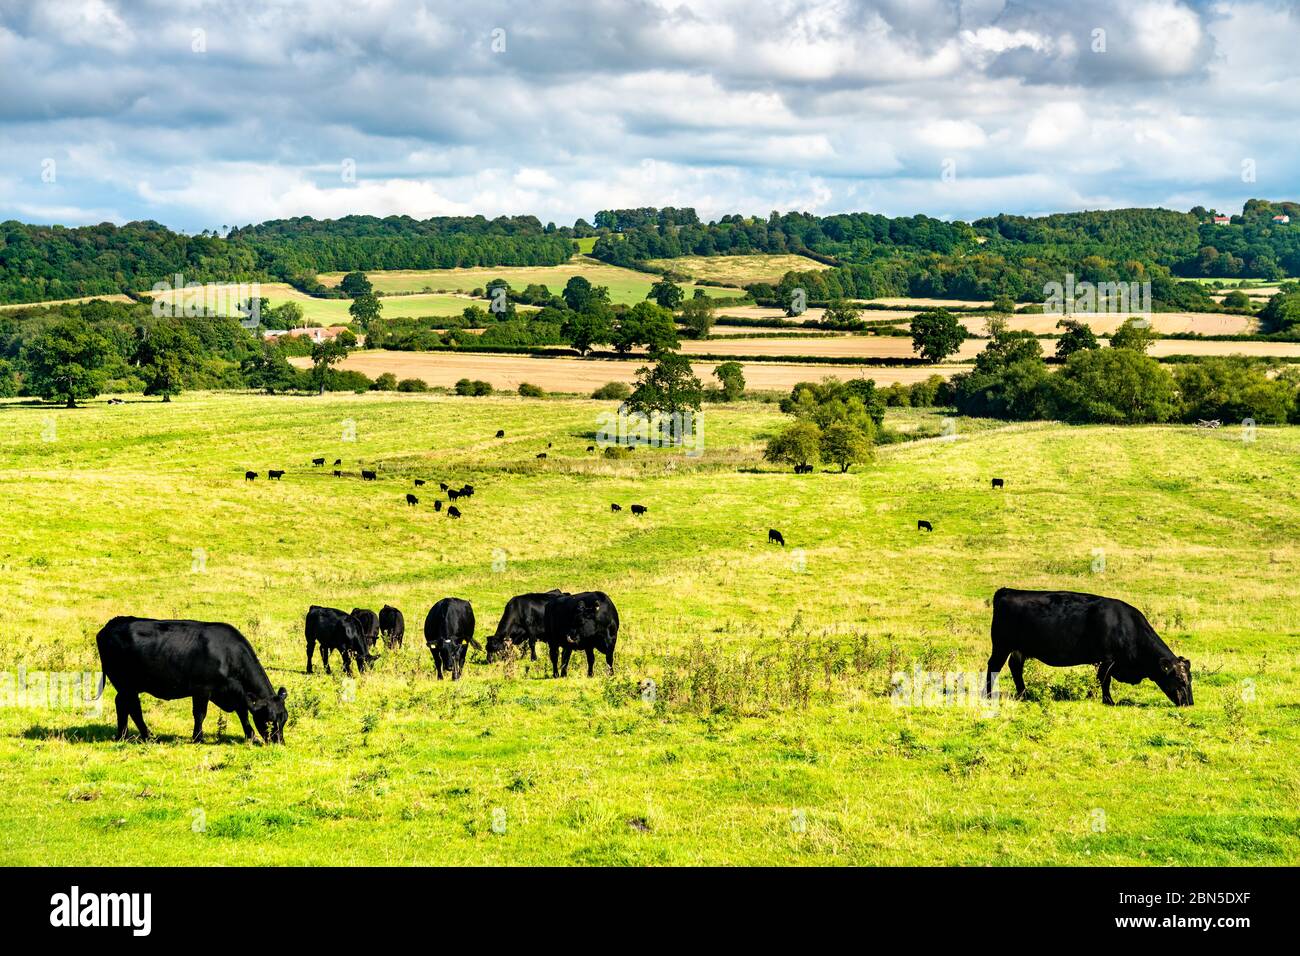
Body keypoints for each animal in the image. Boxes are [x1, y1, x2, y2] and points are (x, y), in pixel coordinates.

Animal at [93, 616, 287, 744]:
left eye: (284, 719)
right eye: (270, 720)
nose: (279, 742)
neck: (228, 655)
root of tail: (112, 624)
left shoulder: (237, 693)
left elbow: (243, 713)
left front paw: (251, 736)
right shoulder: (202, 689)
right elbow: (200, 714)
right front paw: (198, 738)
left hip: (128, 686)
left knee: (124, 705)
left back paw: (123, 735)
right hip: (126, 684)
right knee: (132, 707)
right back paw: (146, 736)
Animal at [986, 588, 1193, 707]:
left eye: (1190, 679)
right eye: (1181, 681)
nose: (1189, 703)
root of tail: (1007, 591)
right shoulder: (1107, 660)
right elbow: (1104, 681)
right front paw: (1107, 700)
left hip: (1018, 649)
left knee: (1015, 668)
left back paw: (1023, 694)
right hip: (1001, 645)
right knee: (994, 666)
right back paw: (988, 695)